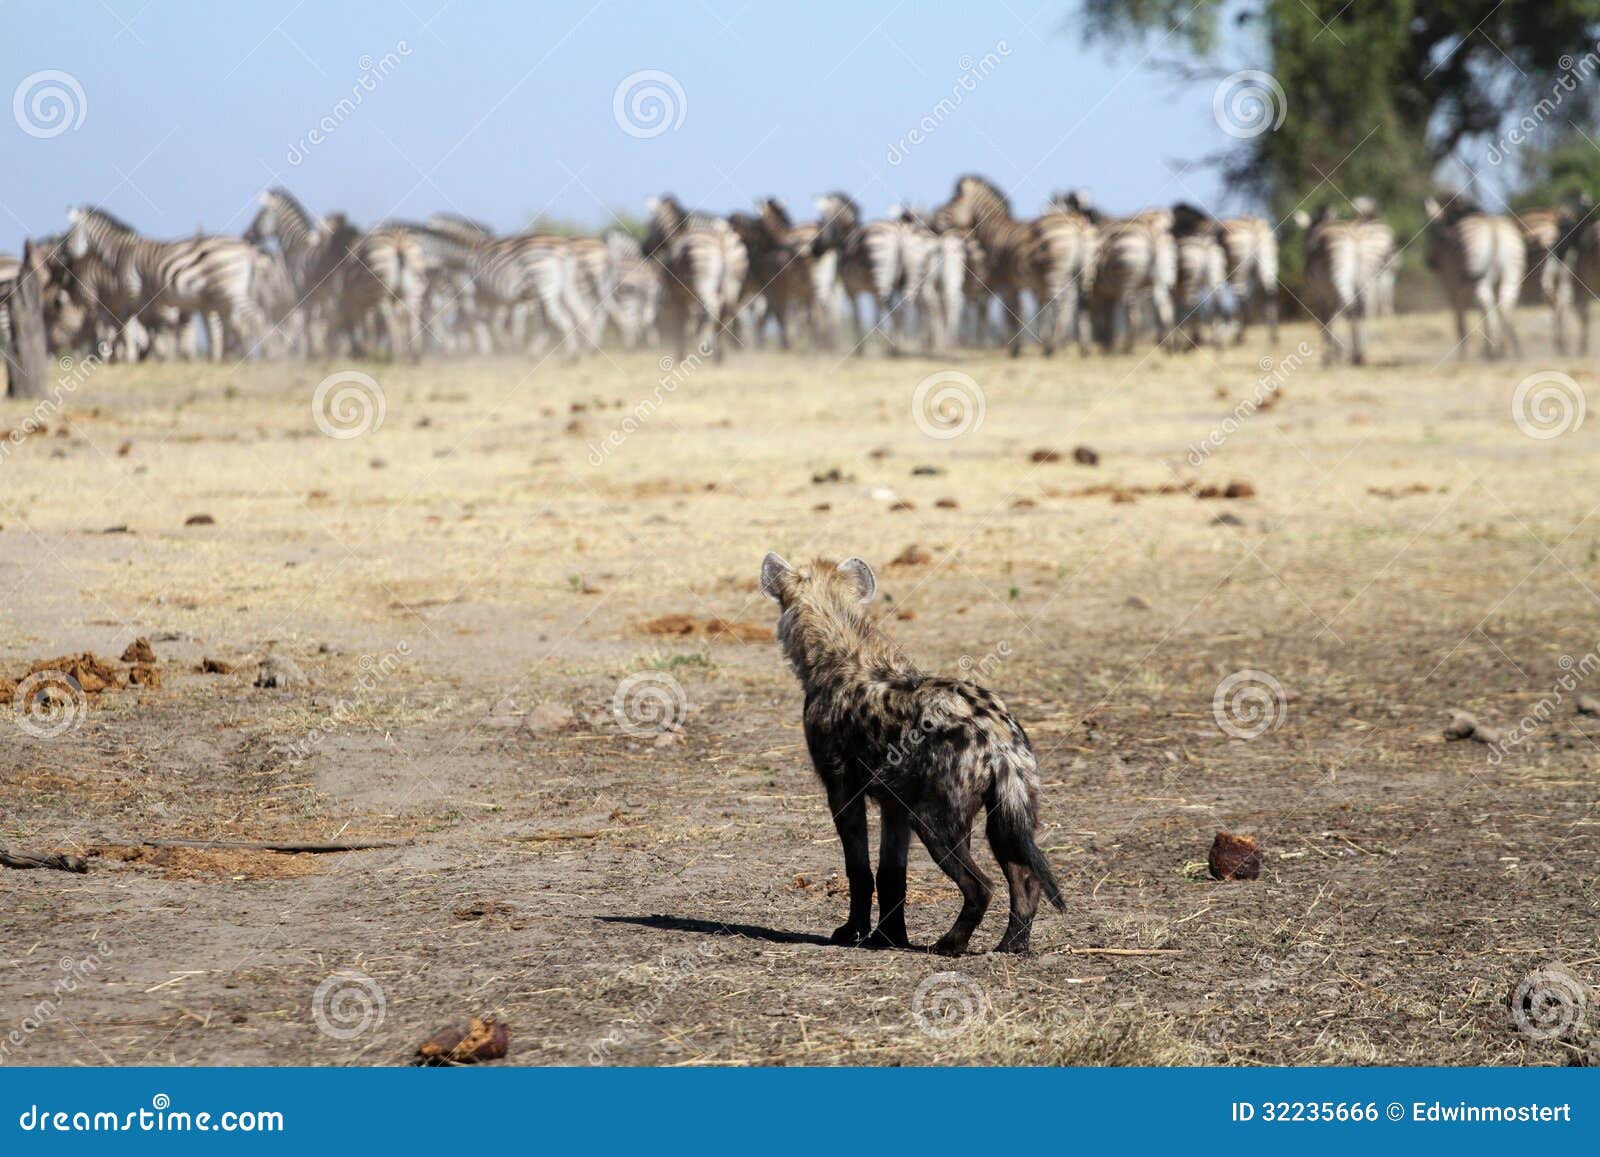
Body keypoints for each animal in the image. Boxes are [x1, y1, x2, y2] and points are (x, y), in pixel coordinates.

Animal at [65, 206, 263, 361]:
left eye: (69, 235)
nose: (66, 259)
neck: (121, 252)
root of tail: (247, 249)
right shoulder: (148, 301)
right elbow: (151, 327)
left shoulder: (132, 292)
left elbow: (131, 325)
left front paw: (134, 355)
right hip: (222, 294)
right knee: (231, 324)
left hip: (229, 289)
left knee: (251, 318)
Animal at [1291, 203, 1394, 365]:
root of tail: (1355, 234)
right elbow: (1333, 318)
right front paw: (1338, 354)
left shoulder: (1320, 294)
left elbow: (1326, 320)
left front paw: (1329, 358)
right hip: (1370, 275)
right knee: (1366, 308)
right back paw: (1359, 355)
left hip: (1341, 273)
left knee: (1351, 307)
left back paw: (1352, 354)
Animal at [1422, 197, 1523, 361]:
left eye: (1429, 231)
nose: (1429, 262)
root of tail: (1493, 227)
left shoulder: (1452, 286)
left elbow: (1460, 319)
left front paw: (1463, 355)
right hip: (1512, 272)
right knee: (1505, 303)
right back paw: (1512, 350)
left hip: (1479, 277)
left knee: (1486, 303)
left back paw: (1493, 352)